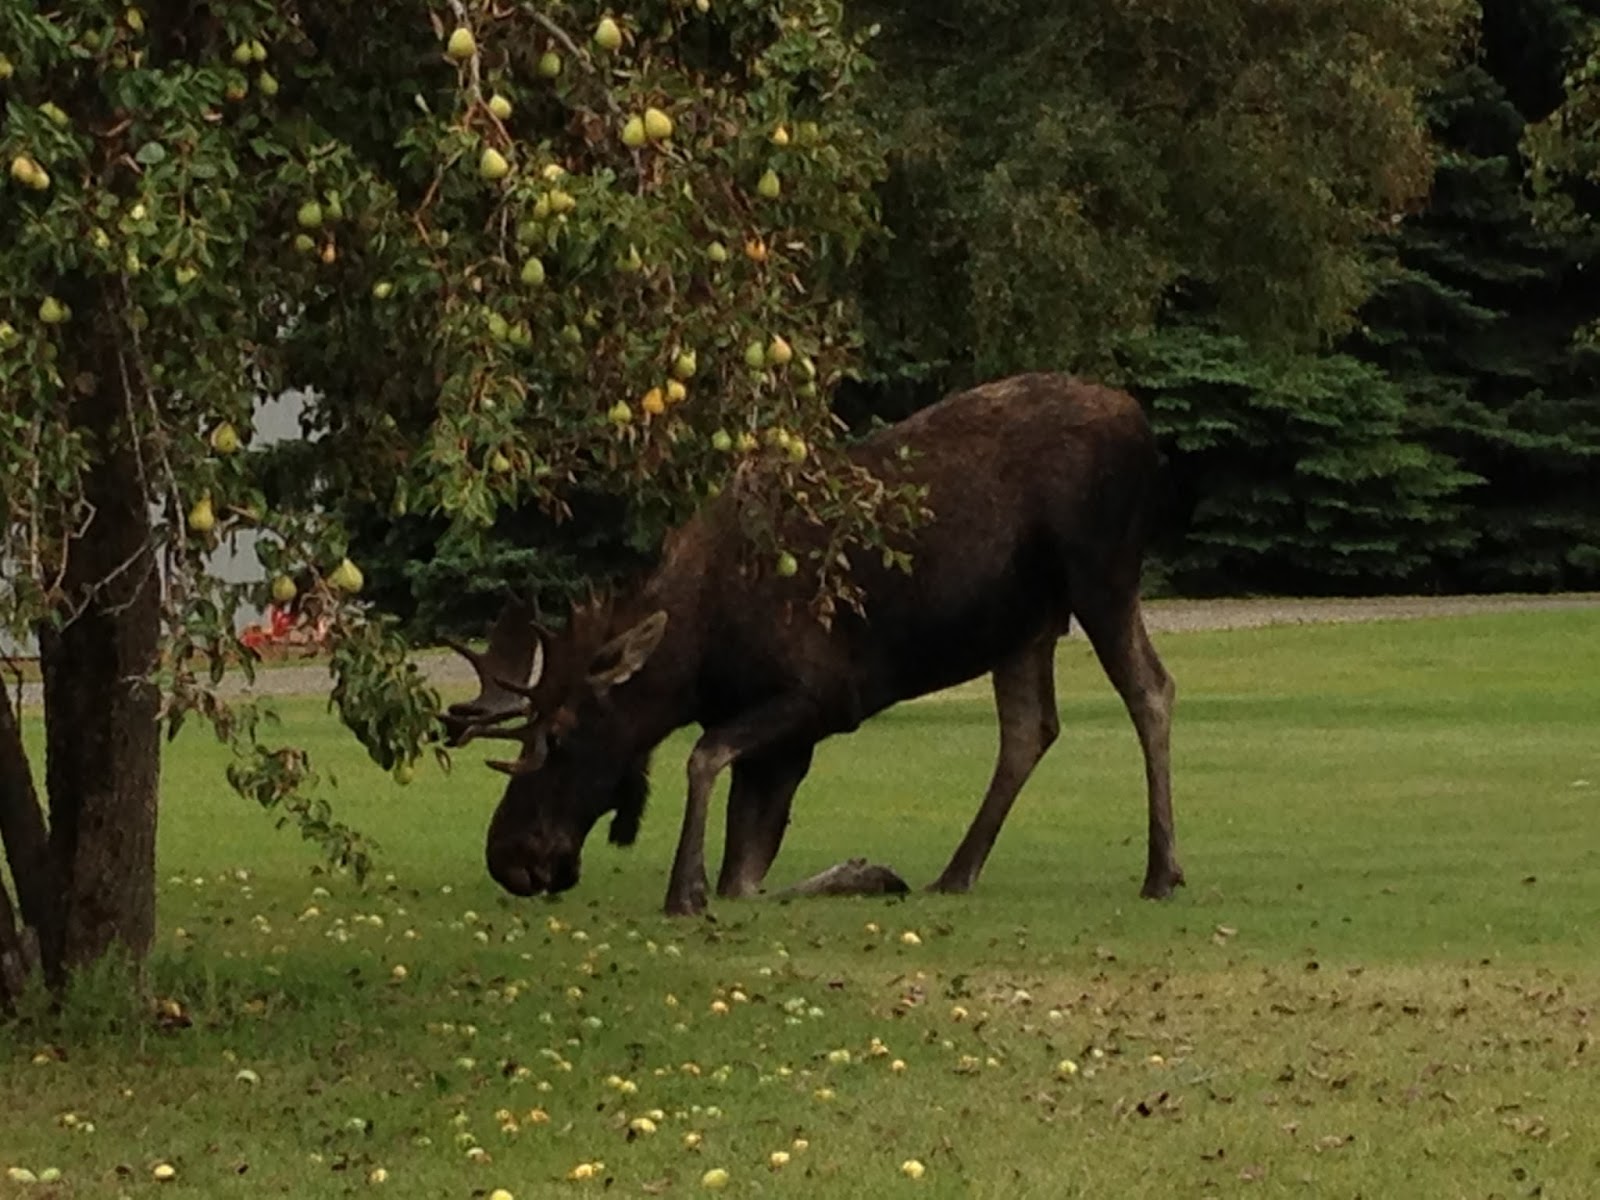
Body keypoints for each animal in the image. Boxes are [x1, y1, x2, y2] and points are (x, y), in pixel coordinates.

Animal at [439, 373, 1183, 916]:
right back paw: (957, 870)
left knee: (1151, 689)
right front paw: (865, 873)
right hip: (1024, 621)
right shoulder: (784, 742)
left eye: (560, 735)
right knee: (1030, 729)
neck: (698, 659)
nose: (507, 855)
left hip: (1101, 575)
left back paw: (1162, 871)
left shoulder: (821, 697)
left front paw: (685, 889)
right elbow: (746, 870)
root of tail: (1141, 423)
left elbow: (703, 760)